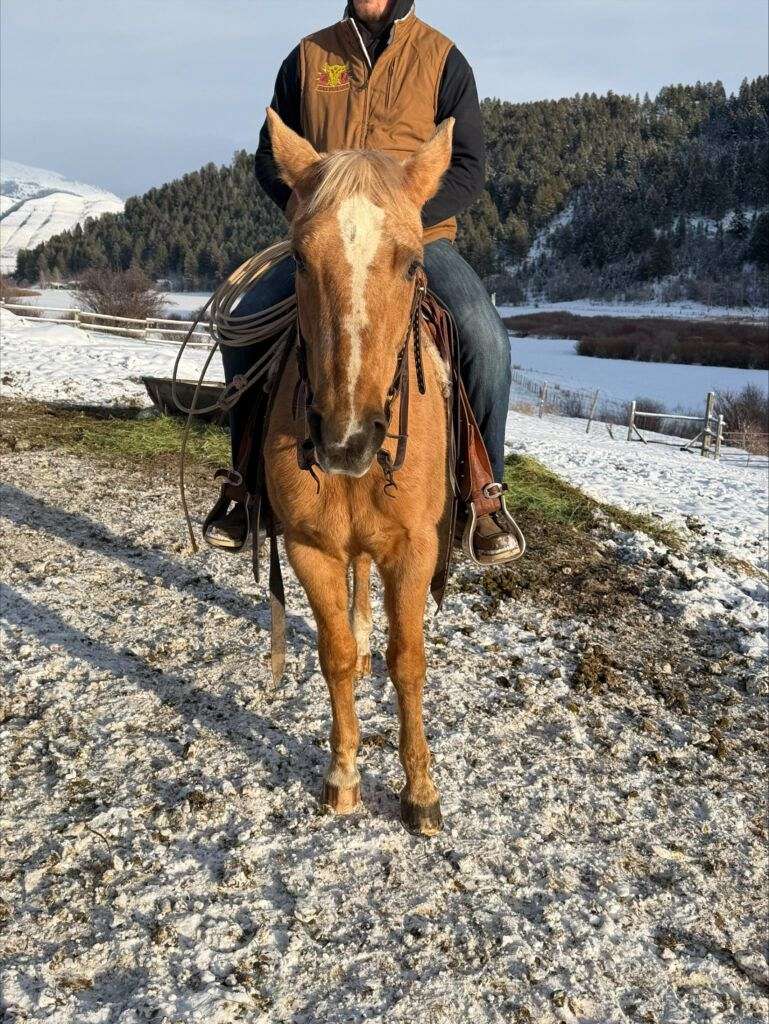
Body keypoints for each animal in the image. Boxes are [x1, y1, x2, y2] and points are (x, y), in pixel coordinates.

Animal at [263, 108, 455, 836]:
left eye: (412, 263)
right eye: (297, 259)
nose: (344, 441)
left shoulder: (414, 549)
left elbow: (409, 662)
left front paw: (420, 791)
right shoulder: (309, 548)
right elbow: (336, 655)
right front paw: (343, 777)